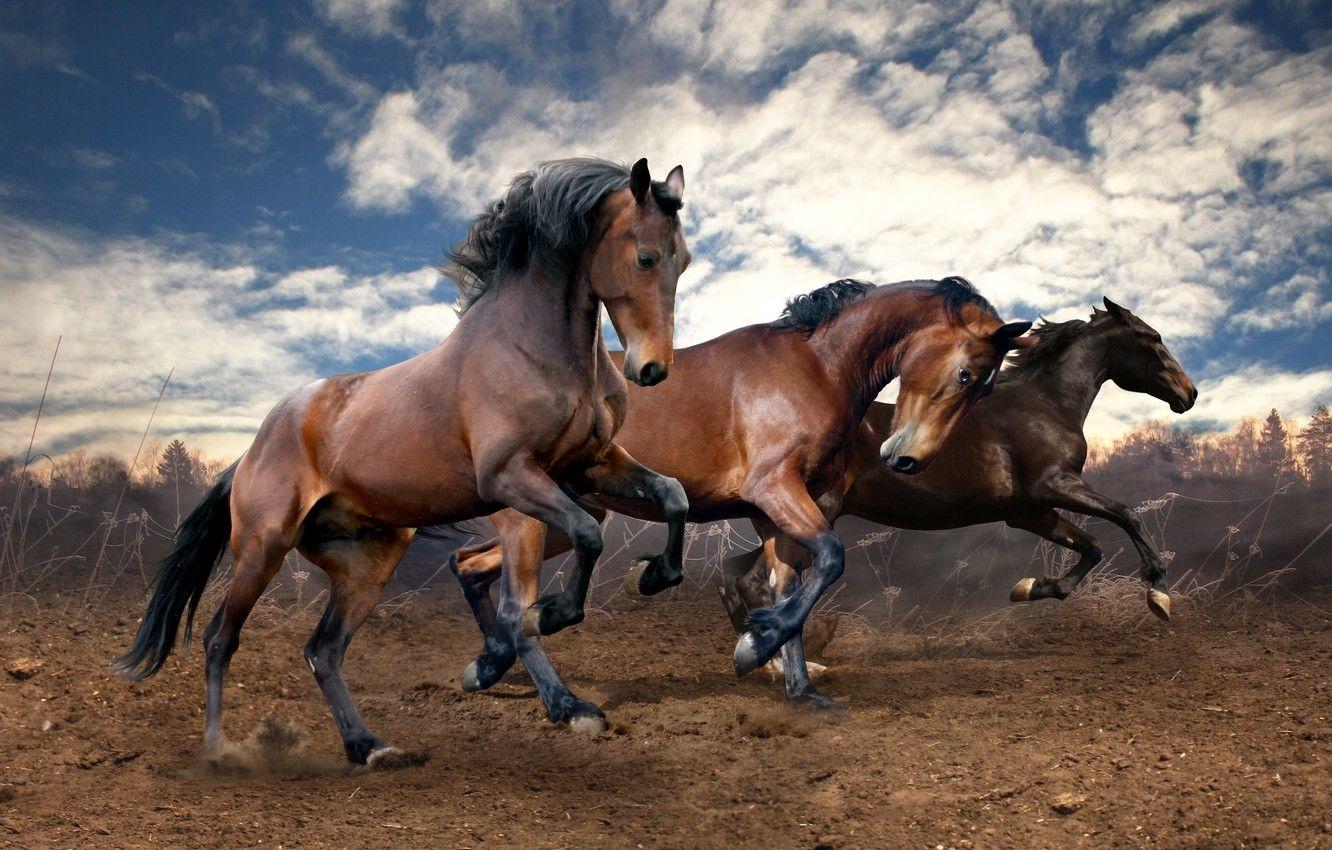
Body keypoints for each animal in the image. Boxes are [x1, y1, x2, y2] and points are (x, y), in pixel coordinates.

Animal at [115, 157, 693, 765]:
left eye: (683, 260)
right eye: (645, 257)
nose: (651, 369)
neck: (536, 349)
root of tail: (248, 453)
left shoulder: (591, 464)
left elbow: (671, 494)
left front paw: (653, 576)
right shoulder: (510, 477)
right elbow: (582, 539)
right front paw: (554, 627)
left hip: (368, 563)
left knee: (322, 651)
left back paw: (367, 746)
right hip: (261, 550)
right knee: (219, 639)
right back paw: (219, 749)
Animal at [451, 277, 1033, 719]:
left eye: (983, 388)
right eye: (966, 374)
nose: (908, 460)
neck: (815, 367)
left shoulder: (777, 513)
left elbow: (790, 585)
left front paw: (799, 686)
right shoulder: (774, 488)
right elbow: (830, 559)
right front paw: (755, 647)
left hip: (566, 518)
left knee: (469, 565)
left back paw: (487, 666)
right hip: (531, 521)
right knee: (516, 608)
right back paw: (565, 704)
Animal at [721, 297, 1198, 641]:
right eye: (1153, 338)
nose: (1189, 393)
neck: (1045, 405)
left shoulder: (1029, 512)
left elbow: (1092, 547)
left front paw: (1030, 588)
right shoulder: (1054, 485)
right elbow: (1126, 514)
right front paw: (1159, 593)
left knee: (737, 578)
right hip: (817, 515)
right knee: (753, 581)